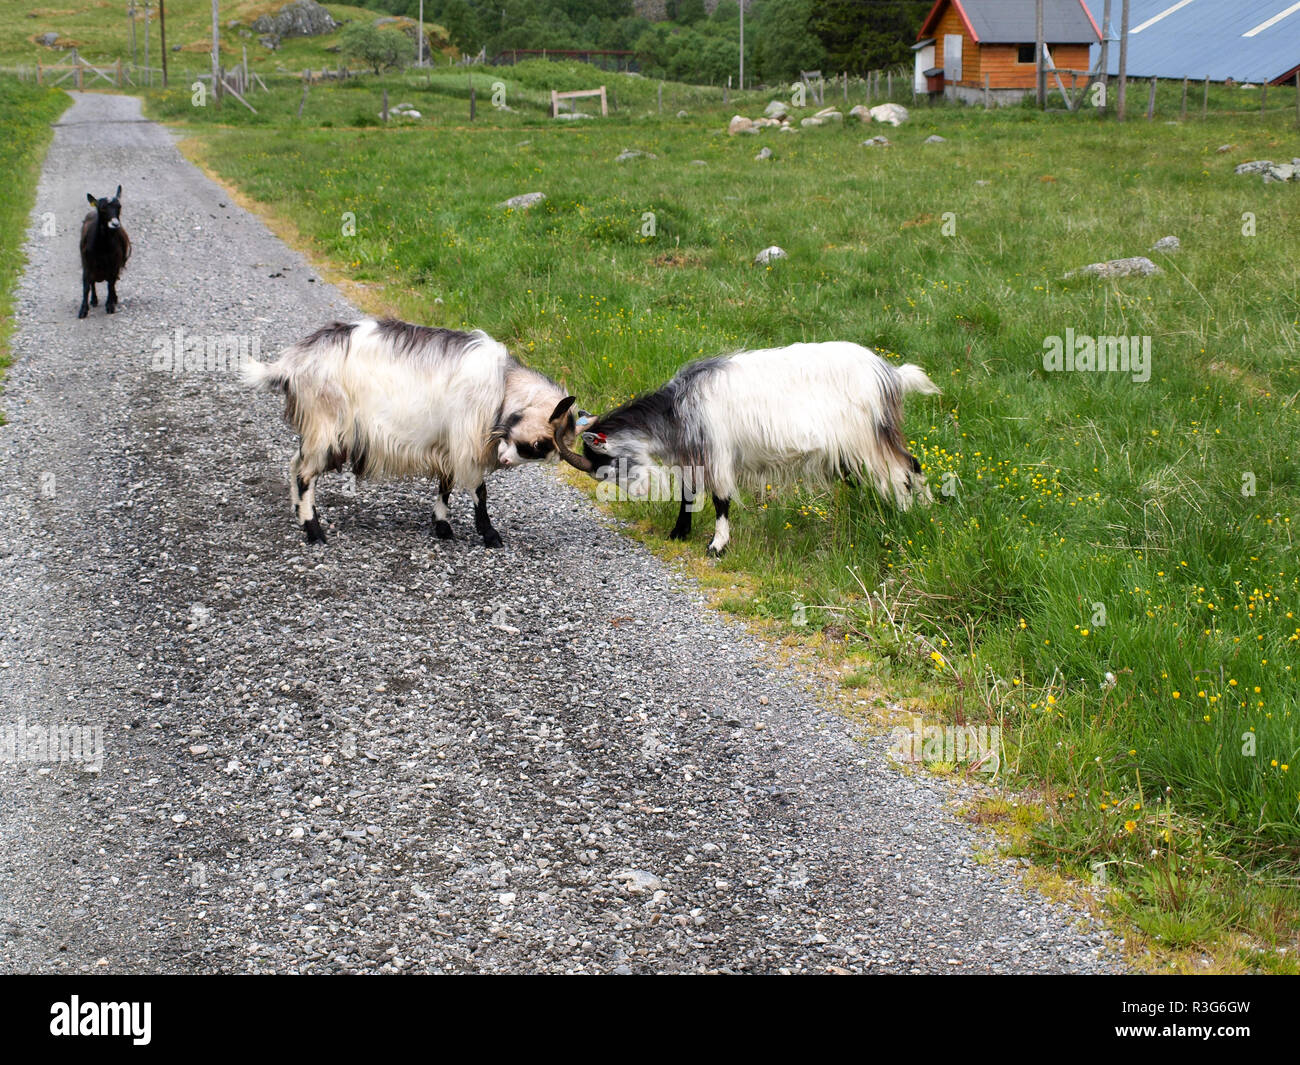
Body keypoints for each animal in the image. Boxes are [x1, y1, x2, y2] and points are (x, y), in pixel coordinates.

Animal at [78, 186, 130, 318]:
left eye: (119, 206)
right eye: (102, 208)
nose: (115, 224)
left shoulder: (114, 263)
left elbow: (110, 284)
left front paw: (110, 306)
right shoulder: (87, 263)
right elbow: (86, 285)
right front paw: (83, 310)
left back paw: (113, 298)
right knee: (92, 282)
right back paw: (94, 300)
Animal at [243, 318, 578, 546]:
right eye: (539, 442)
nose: (507, 461)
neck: (502, 386)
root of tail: (291, 363)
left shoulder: (447, 444)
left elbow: (446, 483)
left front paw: (442, 527)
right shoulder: (465, 443)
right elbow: (478, 490)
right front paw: (490, 535)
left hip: (315, 427)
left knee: (294, 463)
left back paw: (299, 513)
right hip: (327, 425)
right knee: (304, 474)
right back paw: (314, 531)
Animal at [555, 341, 940, 555]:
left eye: (607, 466)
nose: (635, 495)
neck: (677, 410)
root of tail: (890, 374)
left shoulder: (718, 451)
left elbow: (721, 499)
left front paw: (716, 546)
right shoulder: (694, 456)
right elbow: (688, 494)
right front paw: (679, 533)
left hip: (866, 438)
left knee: (900, 473)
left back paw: (904, 517)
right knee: (914, 465)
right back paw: (923, 515)